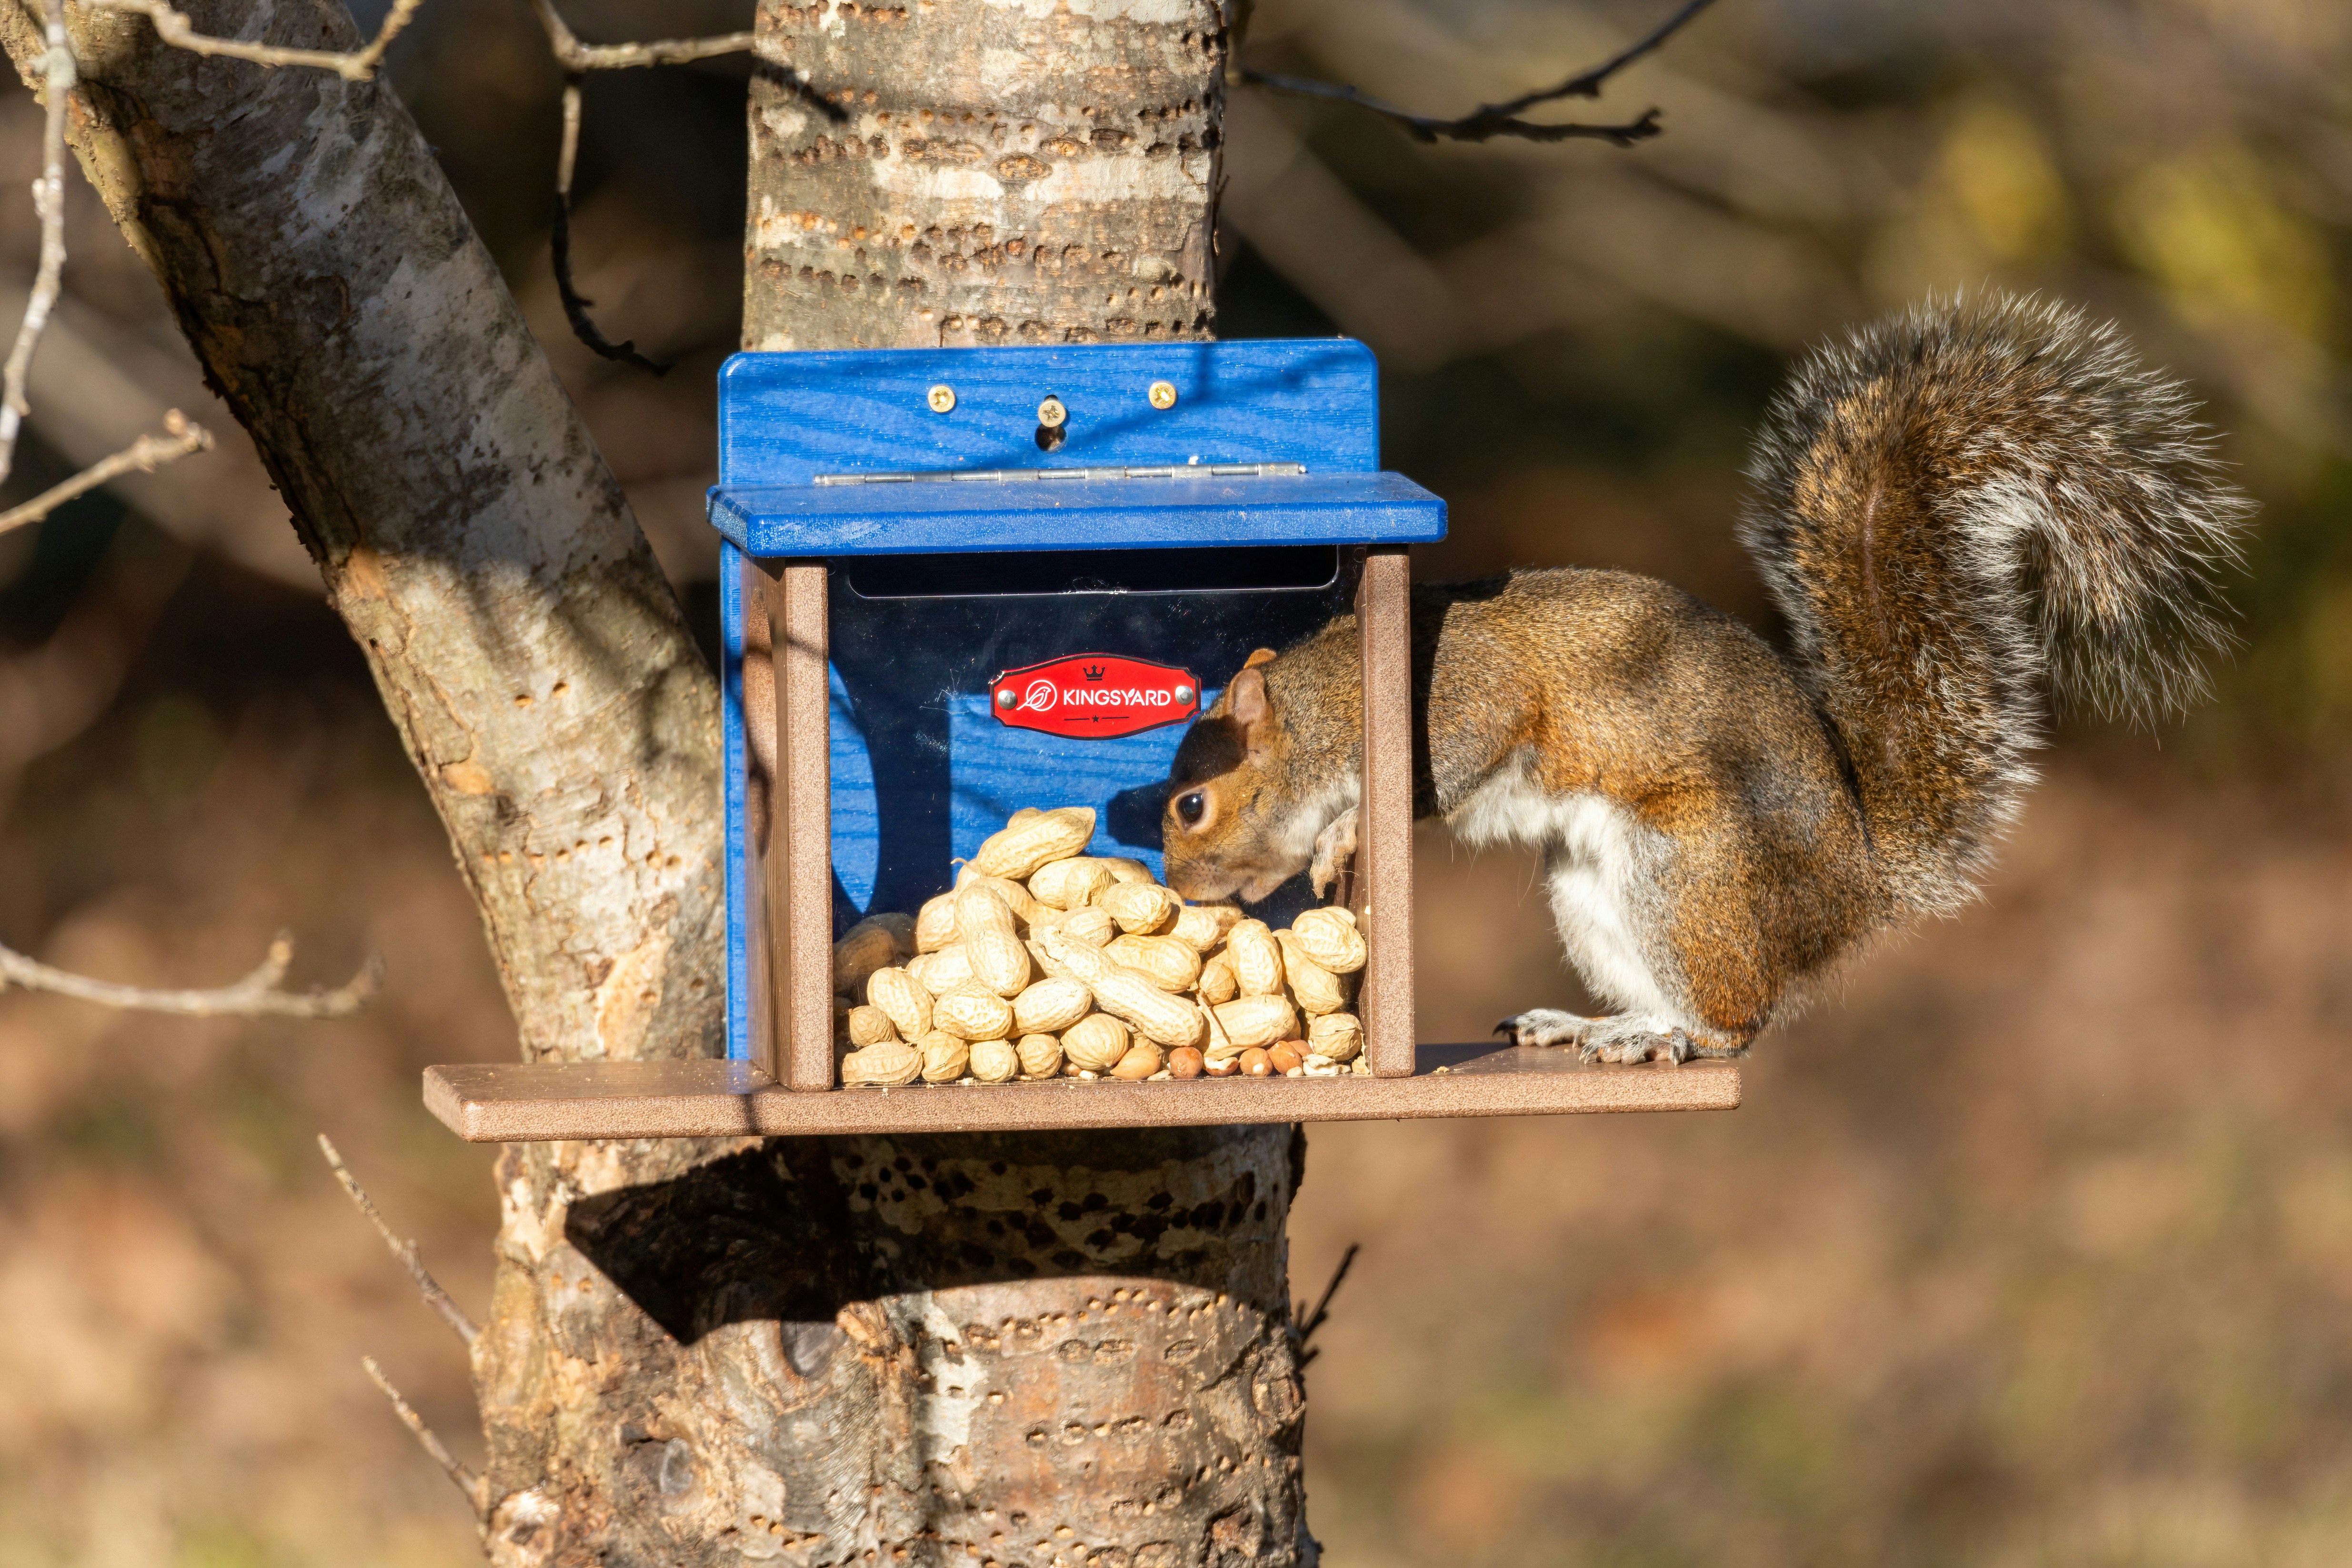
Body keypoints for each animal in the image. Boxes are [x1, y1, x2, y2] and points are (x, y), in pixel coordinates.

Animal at [1158, 295, 2252, 1065]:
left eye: (1190, 806)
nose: (1185, 893)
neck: (1328, 703)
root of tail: (1857, 890)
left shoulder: (1458, 698)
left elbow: (1452, 755)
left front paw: (1345, 831)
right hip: (1593, 891)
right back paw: (1600, 1024)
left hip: (1690, 868)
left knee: (1738, 1020)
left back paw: (1673, 1036)